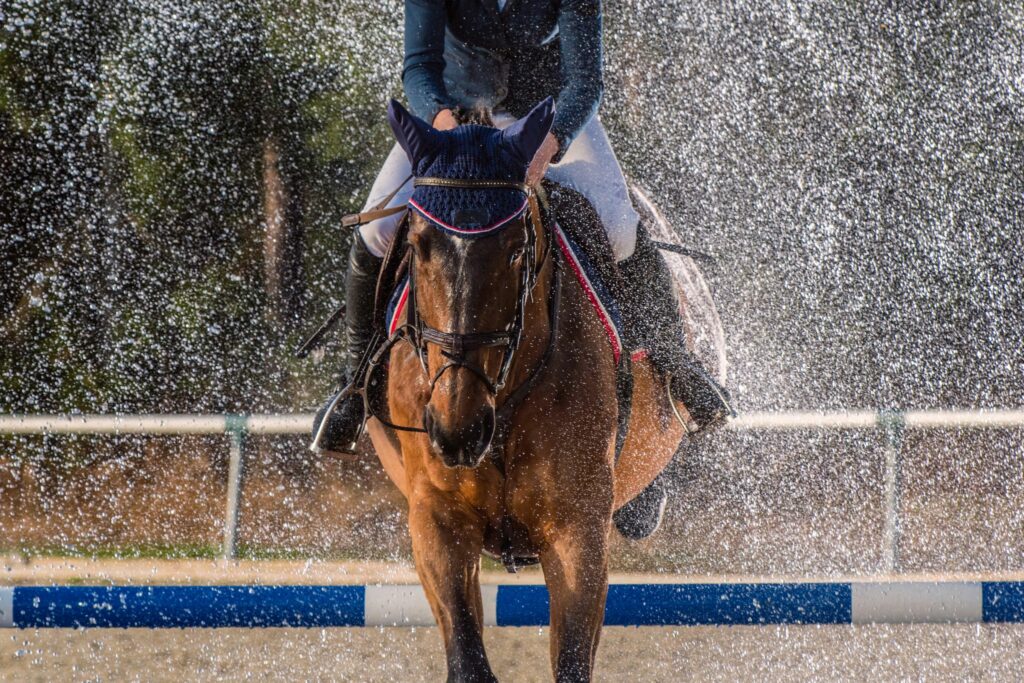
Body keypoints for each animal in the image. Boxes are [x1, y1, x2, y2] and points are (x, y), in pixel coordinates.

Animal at [362, 99, 698, 682]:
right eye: (417, 247)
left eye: (517, 249)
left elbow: (572, 661)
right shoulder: (437, 520)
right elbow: (469, 662)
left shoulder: (577, 530)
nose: (458, 433)